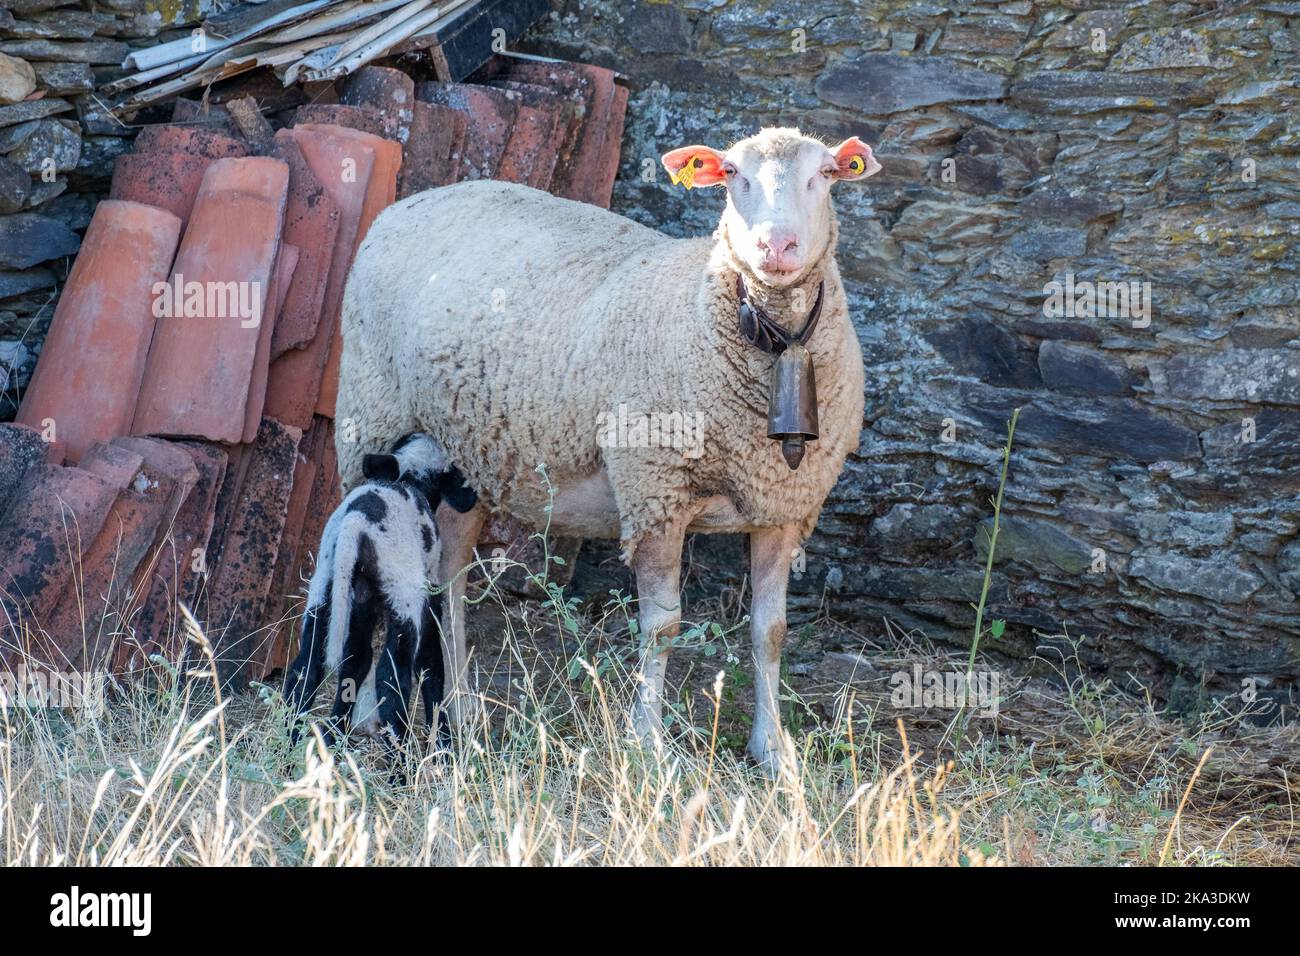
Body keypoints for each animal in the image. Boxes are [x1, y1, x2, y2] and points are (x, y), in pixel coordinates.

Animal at [284, 432, 478, 750]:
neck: (411, 482)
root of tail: (355, 524)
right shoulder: (428, 597)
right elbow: (431, 667)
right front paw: (443, 743)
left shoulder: (363, 606)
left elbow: (355, 663)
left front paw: (335, 734)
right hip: (403, 598)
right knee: (392, 678)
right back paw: (402, 759)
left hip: (325, 590)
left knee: (307, 667)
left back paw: (289, 745)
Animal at [336, 127, 879, 770]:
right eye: (731, 175)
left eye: (825, 174)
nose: (776, 245)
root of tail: (410, 203)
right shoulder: (655, 492)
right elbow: (662, 627)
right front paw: (648, 745)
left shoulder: (783, 504)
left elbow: (770, 631)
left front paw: (773, 752)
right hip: (369, 417)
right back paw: (369, 714)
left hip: (467, 464)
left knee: (447, 580)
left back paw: (460, 712)